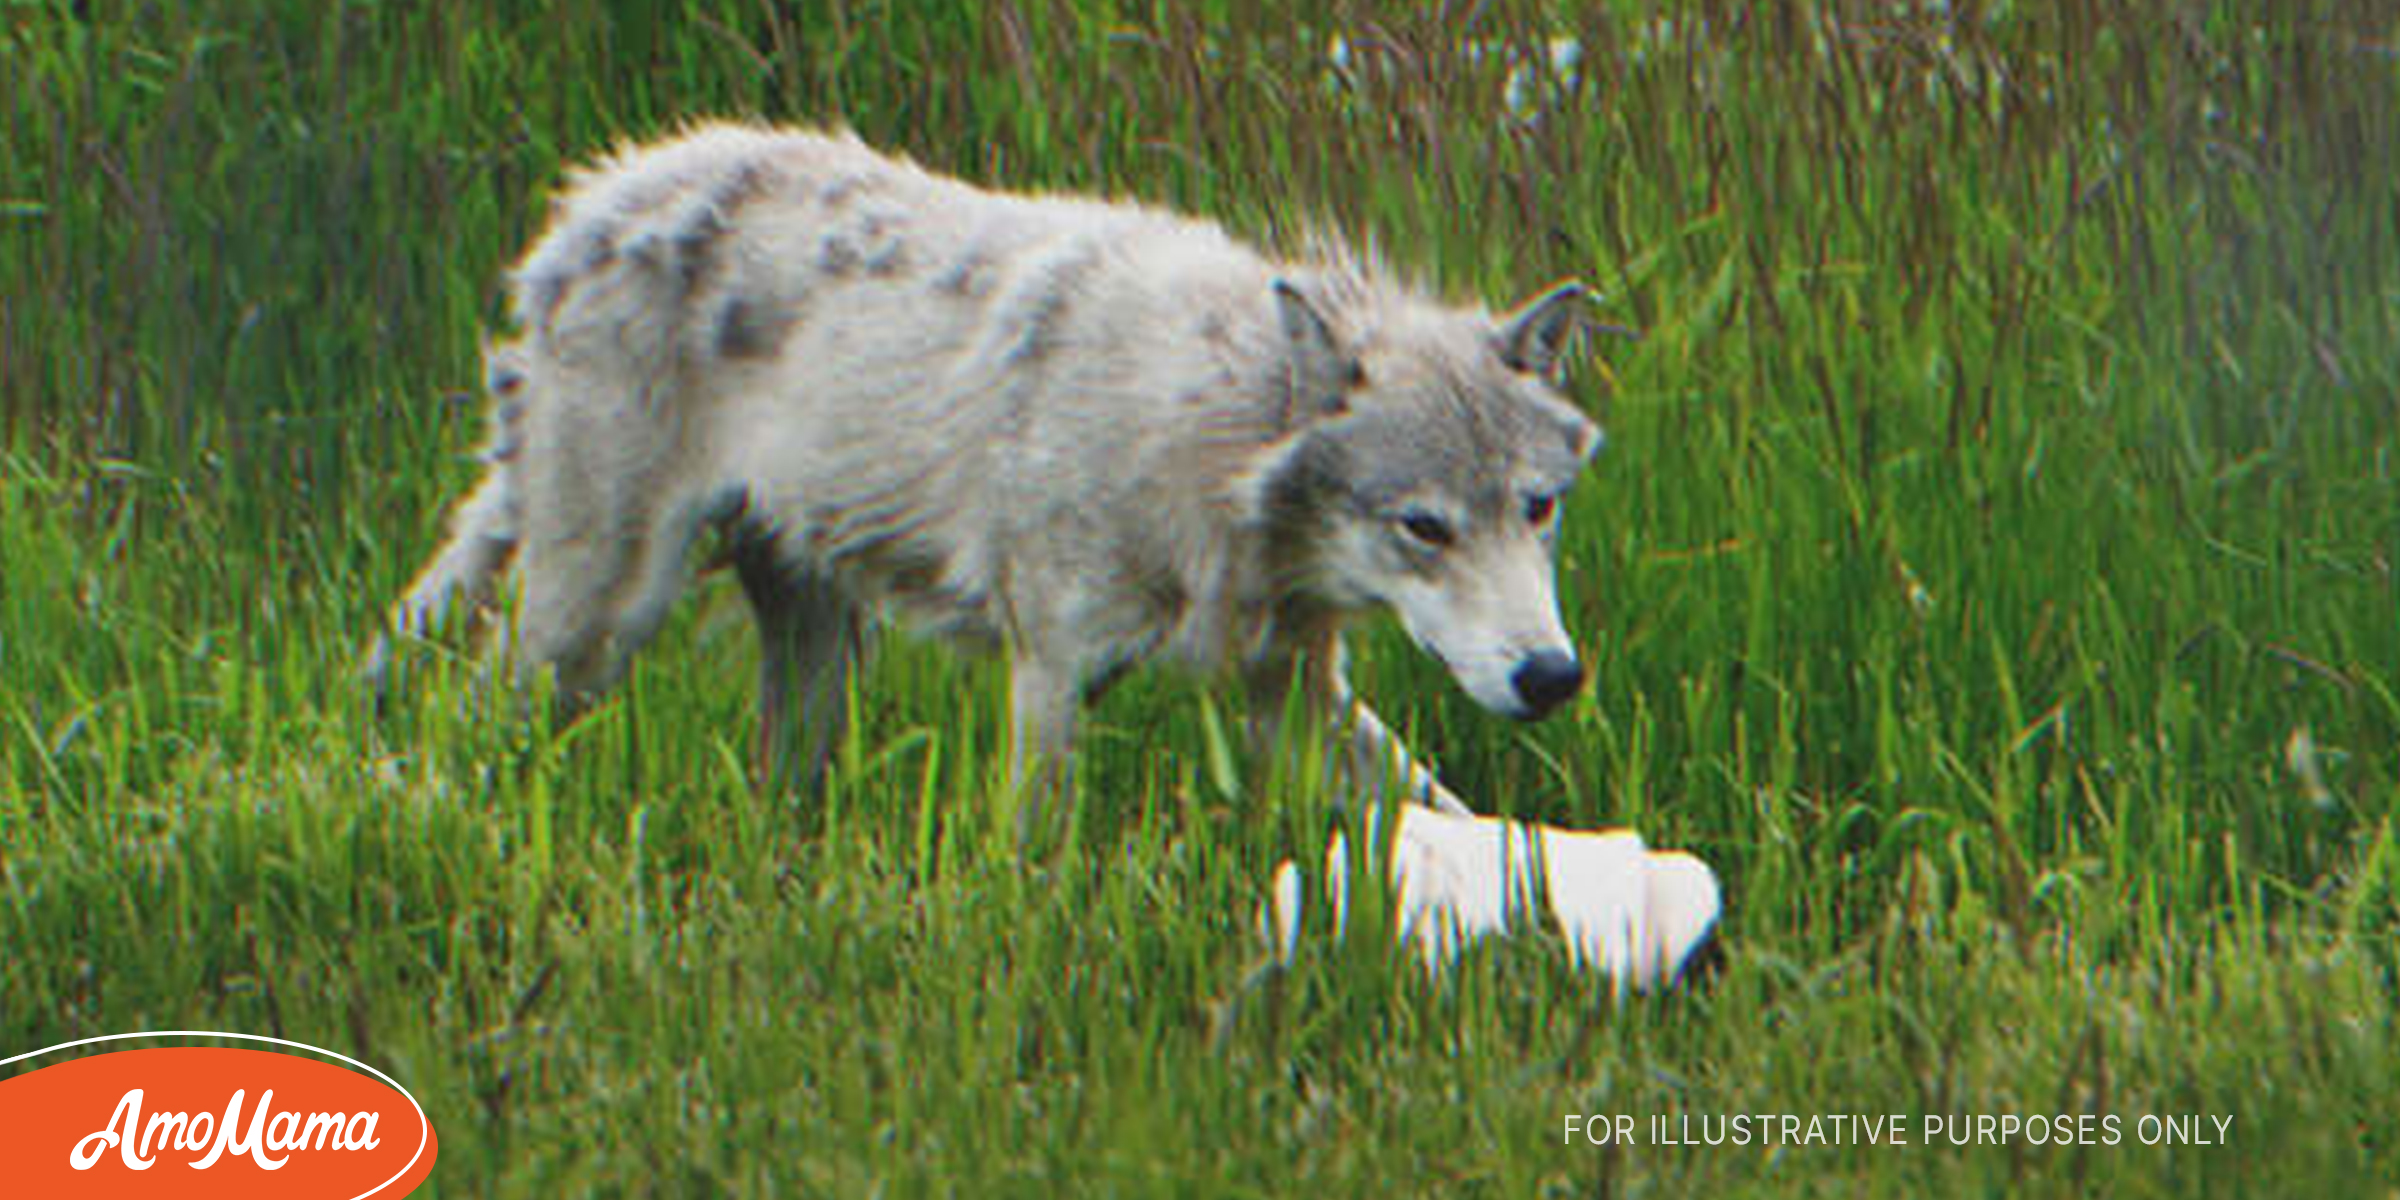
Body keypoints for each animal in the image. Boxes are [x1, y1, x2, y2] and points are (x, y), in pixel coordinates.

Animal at [368, 121, 1604, 835]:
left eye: (1536, 510)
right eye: (1424, 527)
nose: (1551, 677)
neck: (1207, 435)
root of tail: (586, 205)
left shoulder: (1297, 688)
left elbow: (1452, 810)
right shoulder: (1051, 671)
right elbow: (1037, 863)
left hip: (813, 654)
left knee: (776, 796)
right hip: (595, 628)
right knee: (471, 724)